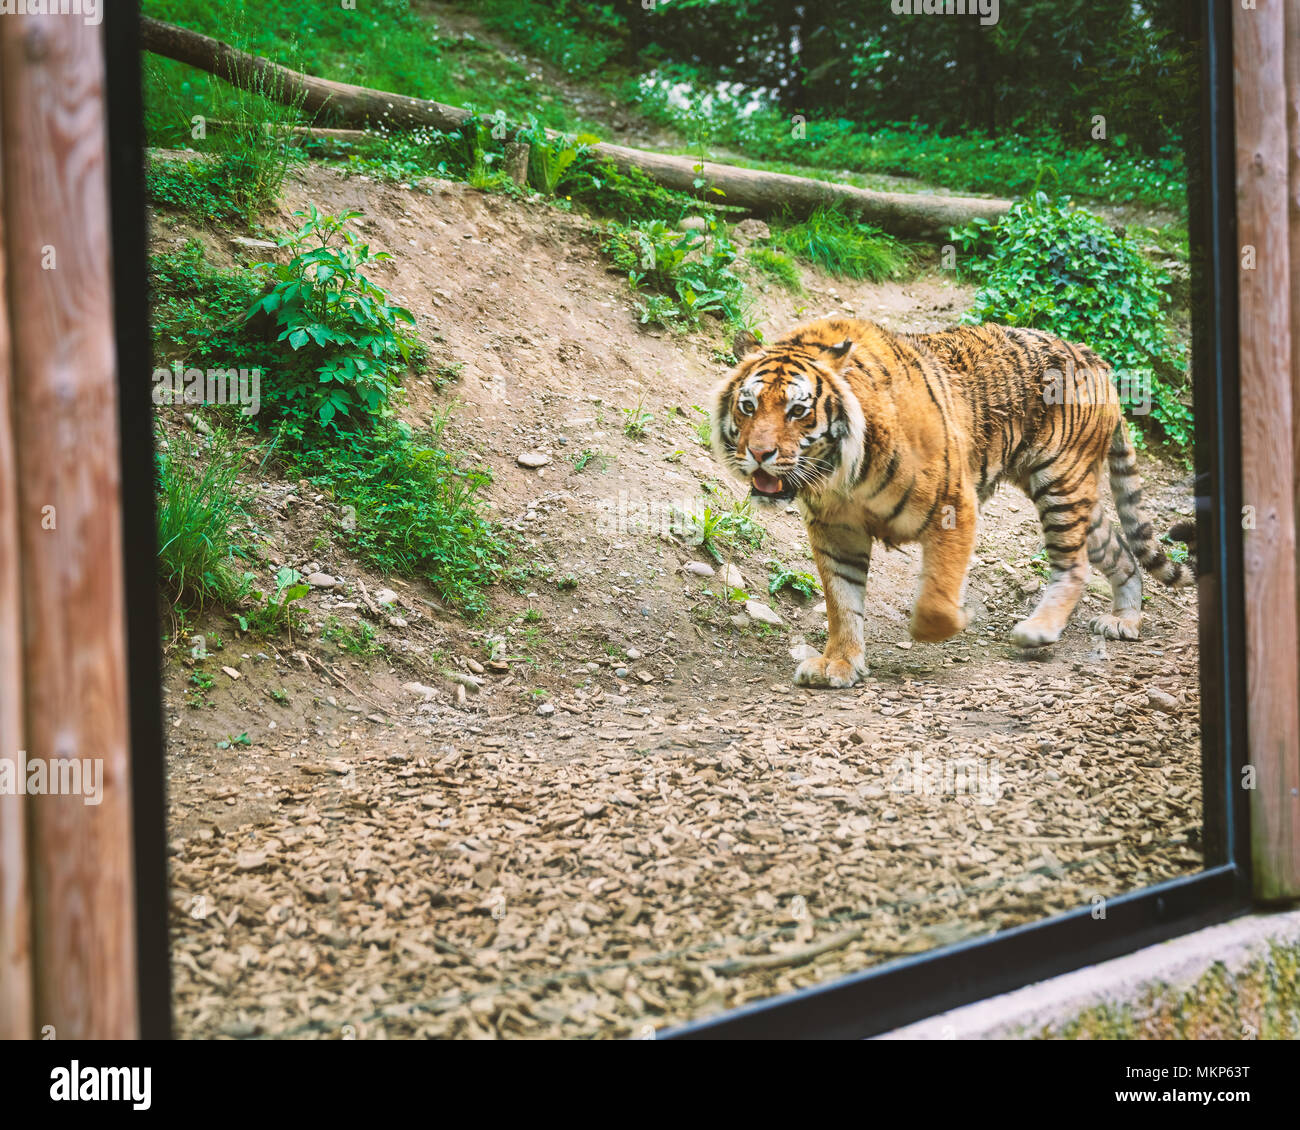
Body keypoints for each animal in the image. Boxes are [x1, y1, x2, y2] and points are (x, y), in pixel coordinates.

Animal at [710, 317, 1195, 688]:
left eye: (798, 411)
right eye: (748, 406)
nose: (759, 453)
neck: (840, 474)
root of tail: (1095, 358)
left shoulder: (953, 506)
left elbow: (936, 598)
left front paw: (956, 621)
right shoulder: (836, 529)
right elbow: (842, 602)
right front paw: (839, 664)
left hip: (1060, 484)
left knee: (1074, 566)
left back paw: (1038, 631)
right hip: (1080, 501)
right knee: (1121, 551)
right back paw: (1125, 621)